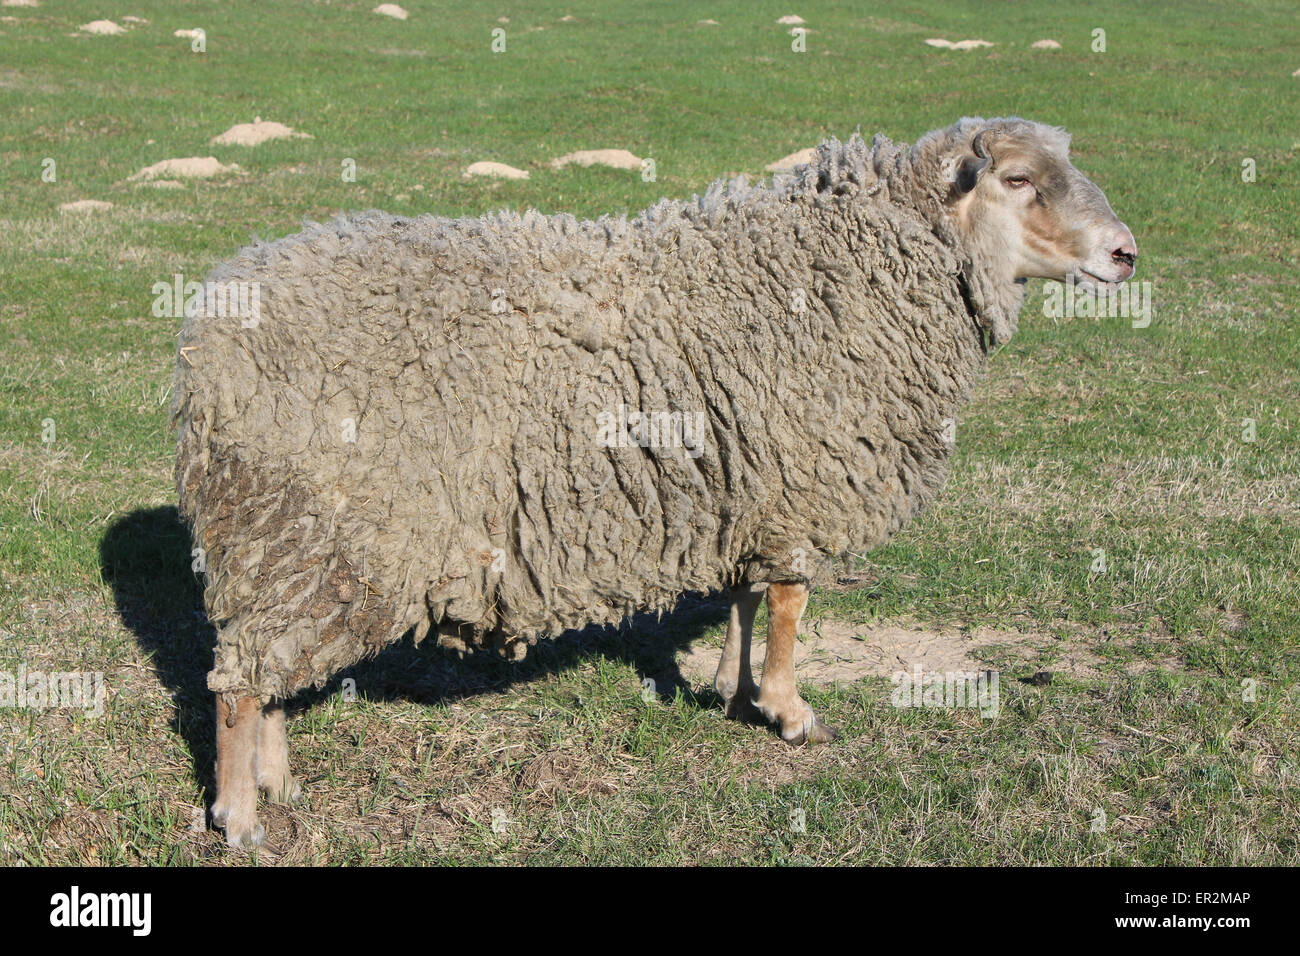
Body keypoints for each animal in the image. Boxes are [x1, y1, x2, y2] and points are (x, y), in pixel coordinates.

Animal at [172, 116, 1137, 846]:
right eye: (1018, 178)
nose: (1126, 254)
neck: (859, 271)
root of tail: (208, 334)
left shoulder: (750, 485)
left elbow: (747, 599)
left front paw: (734, 690)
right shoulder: (800, 482)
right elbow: (790, 604)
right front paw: (789, 711)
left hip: (286, 546)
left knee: (261, 670)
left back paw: (277, 780)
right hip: (312, 532)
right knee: (240, 682)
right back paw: (240, 815)